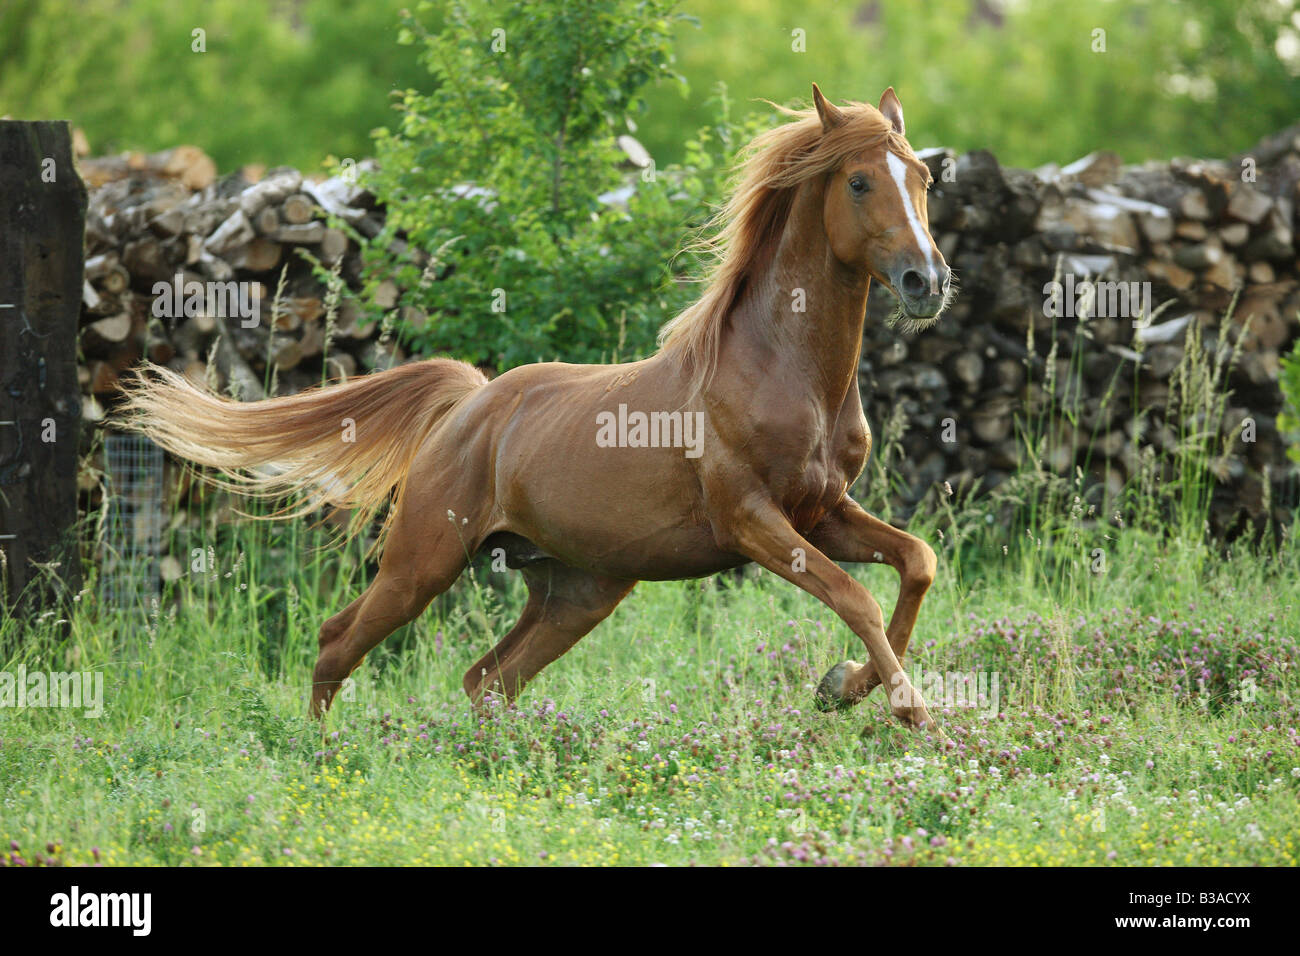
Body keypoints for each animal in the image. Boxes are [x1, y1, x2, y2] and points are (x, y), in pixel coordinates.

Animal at [121, 84, 955, 738]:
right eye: (857, 182)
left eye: (921, 177)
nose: (927, 281)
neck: (782, 369)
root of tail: (468, 403)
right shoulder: (751, 519)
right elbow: (854, 596)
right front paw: (905, 709)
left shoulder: (823, 510)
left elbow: (917, 562)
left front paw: (842, 688)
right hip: (423, 561)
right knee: (339, 642)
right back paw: (322, 756)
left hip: (575, 590)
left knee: (488, 679)